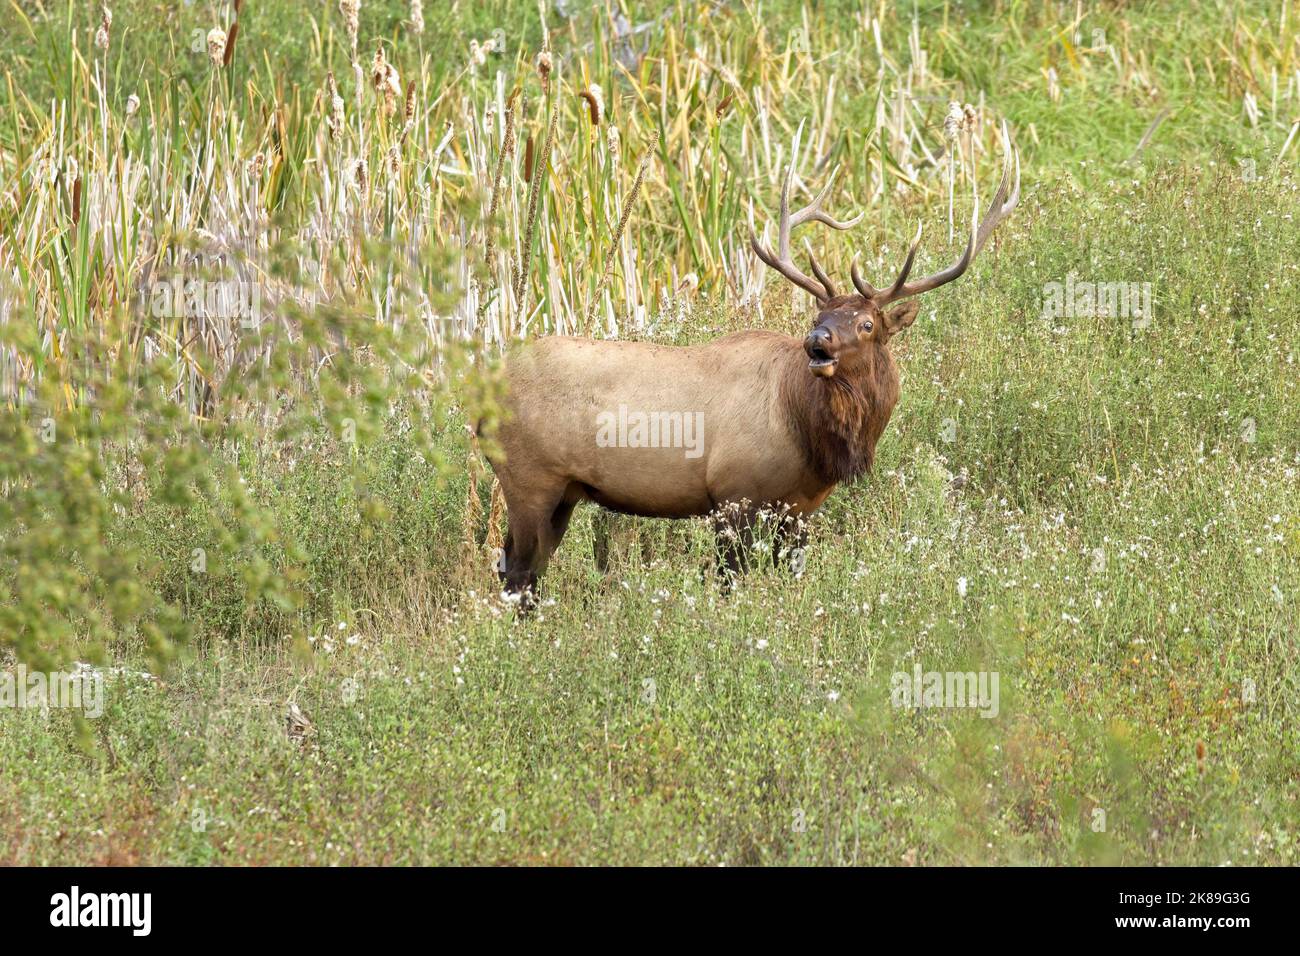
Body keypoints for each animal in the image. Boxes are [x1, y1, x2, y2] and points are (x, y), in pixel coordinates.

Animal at [482, 124, 1019, 608]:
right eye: (817, 316)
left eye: (867, 323)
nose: (816, 343)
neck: (806, 434)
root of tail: (480, 394)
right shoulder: (732, 495)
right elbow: (727, 585)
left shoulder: (800, 512)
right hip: (529, 479)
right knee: (518, 572)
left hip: (565, 492)